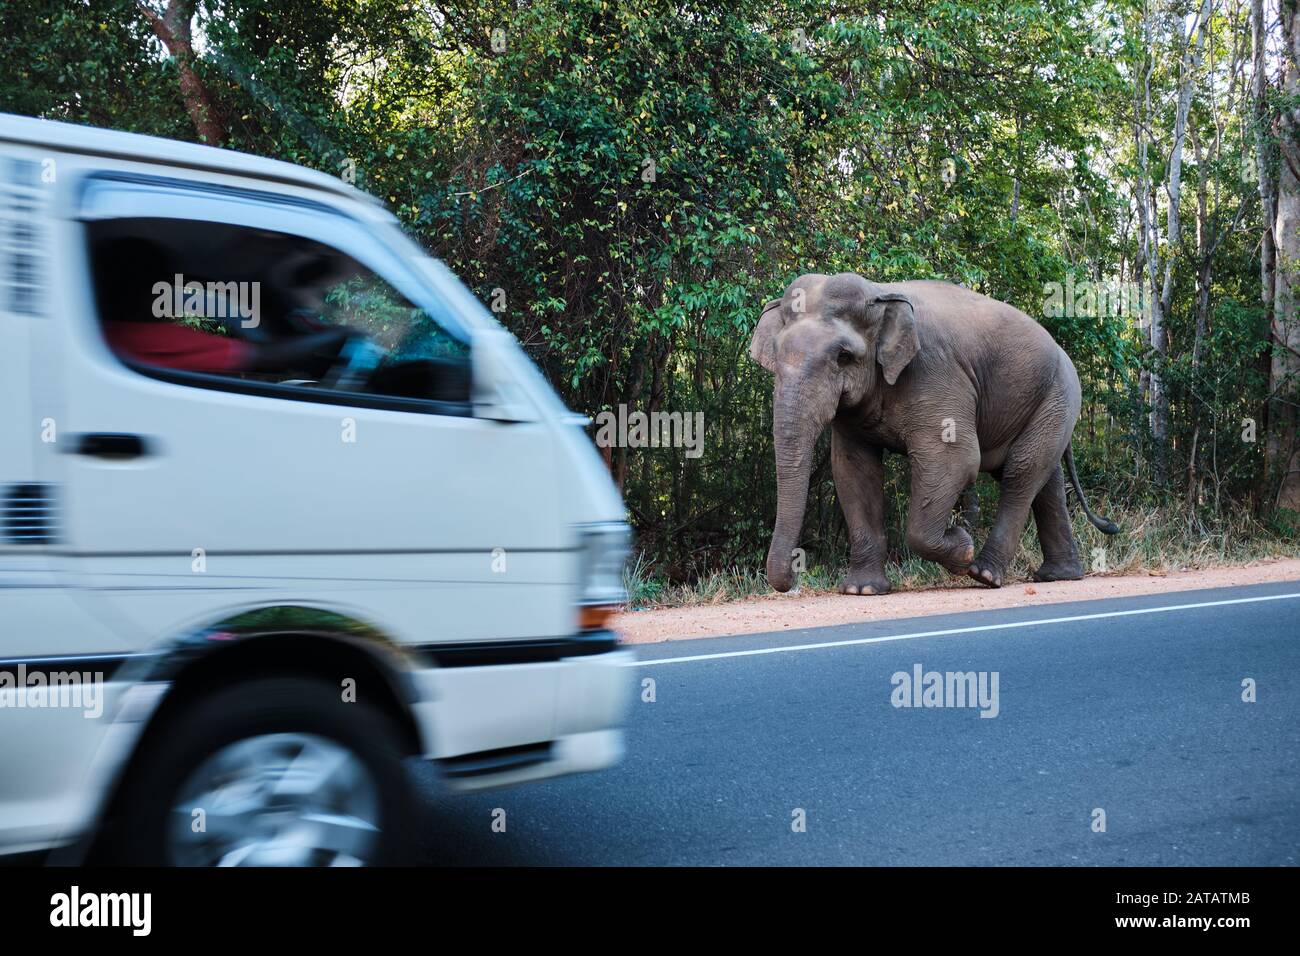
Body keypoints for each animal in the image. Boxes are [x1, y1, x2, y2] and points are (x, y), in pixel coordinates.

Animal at [749, 273, 1119, 594]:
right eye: (776, 356)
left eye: (844, 356)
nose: (793, 577)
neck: (879, 293)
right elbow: (853, 470)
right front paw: (861, 590)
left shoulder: (934, 371)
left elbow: (955, 459)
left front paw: (962, 545)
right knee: (1045, 479)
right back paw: (1059, 576)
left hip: (1060, 395)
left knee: (1021, 473)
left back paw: (985, 574)